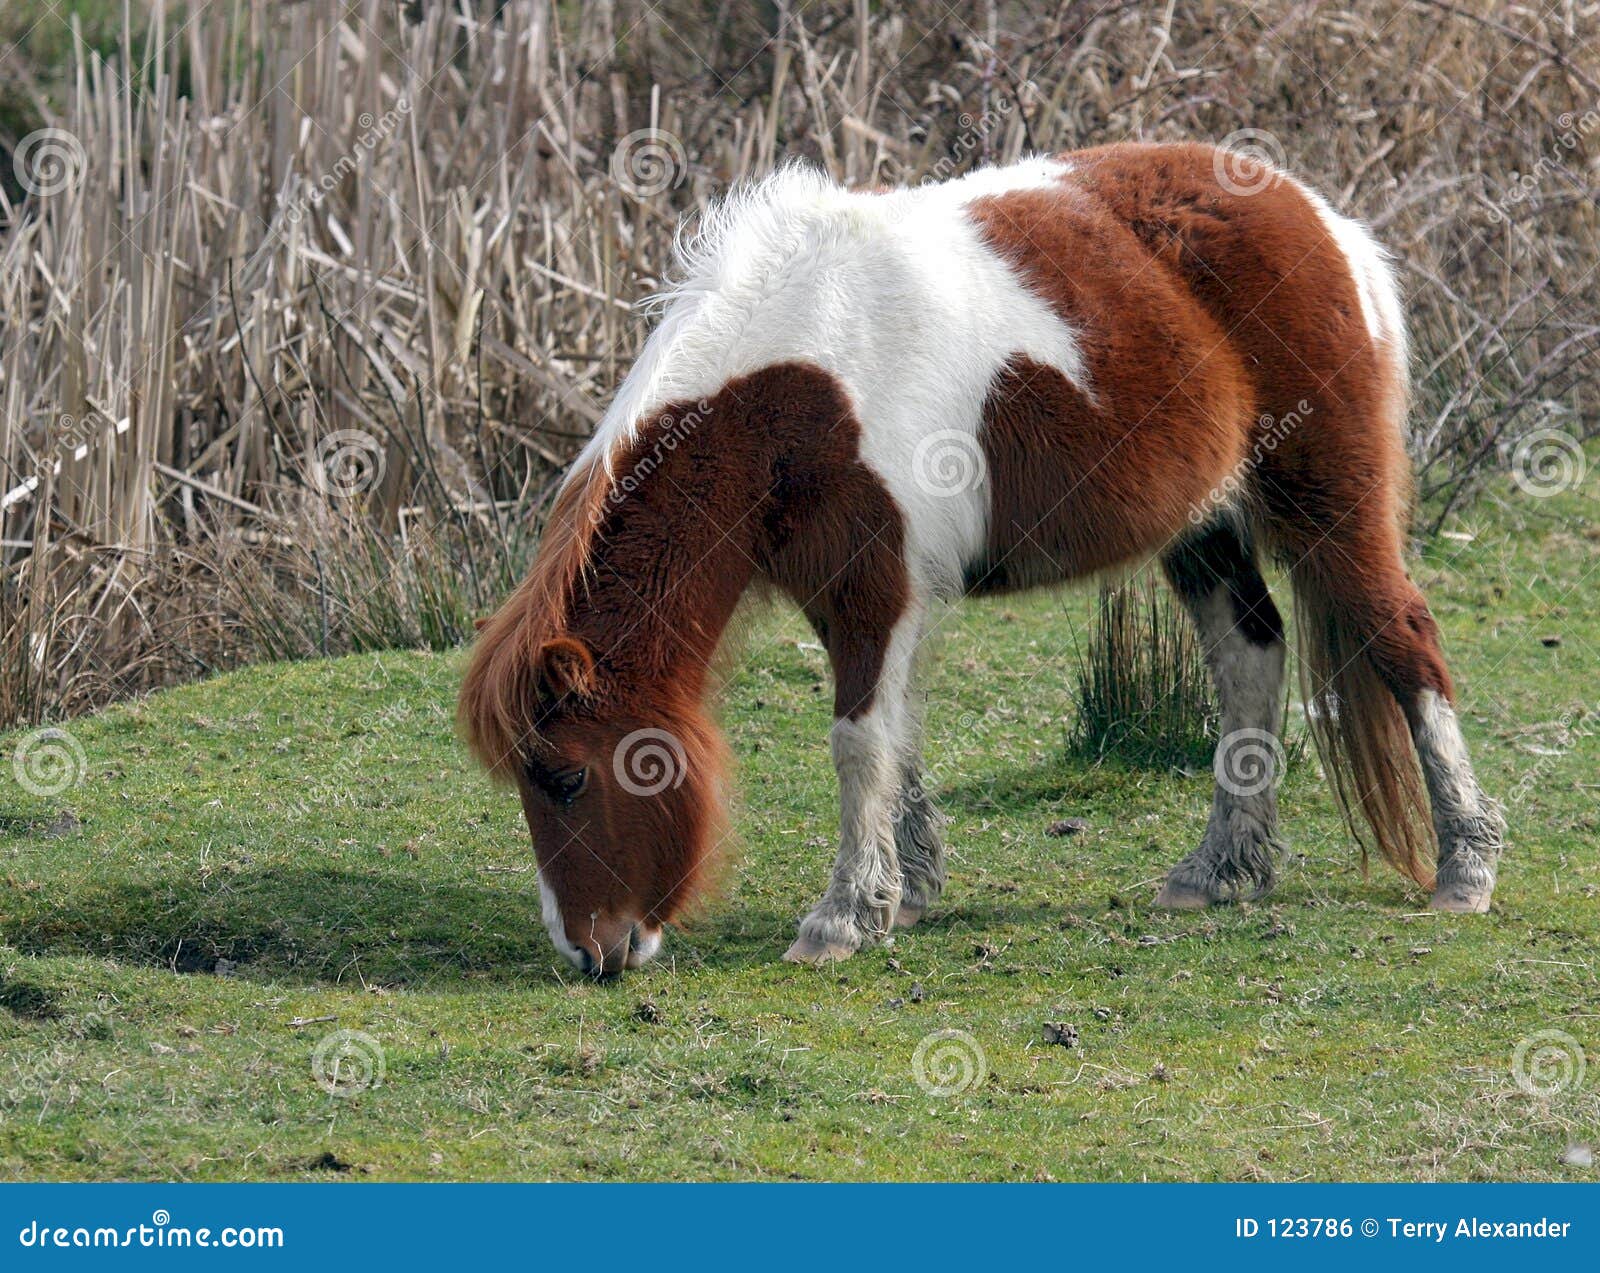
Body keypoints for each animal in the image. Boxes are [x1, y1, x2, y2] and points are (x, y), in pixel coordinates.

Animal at [459, 141, 1505, 976]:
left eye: (566, 776)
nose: (589, 951)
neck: (794, 386)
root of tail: (1328, 224)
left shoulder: (876, 584)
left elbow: (858, 741)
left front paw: (843, 918)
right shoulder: (855, 595)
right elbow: (895, 734)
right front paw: (905, 890)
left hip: (1329, 505)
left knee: (1406, 640)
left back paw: (1465, 866)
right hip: (1205, 527)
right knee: (1251, 657)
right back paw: (1219, 872)